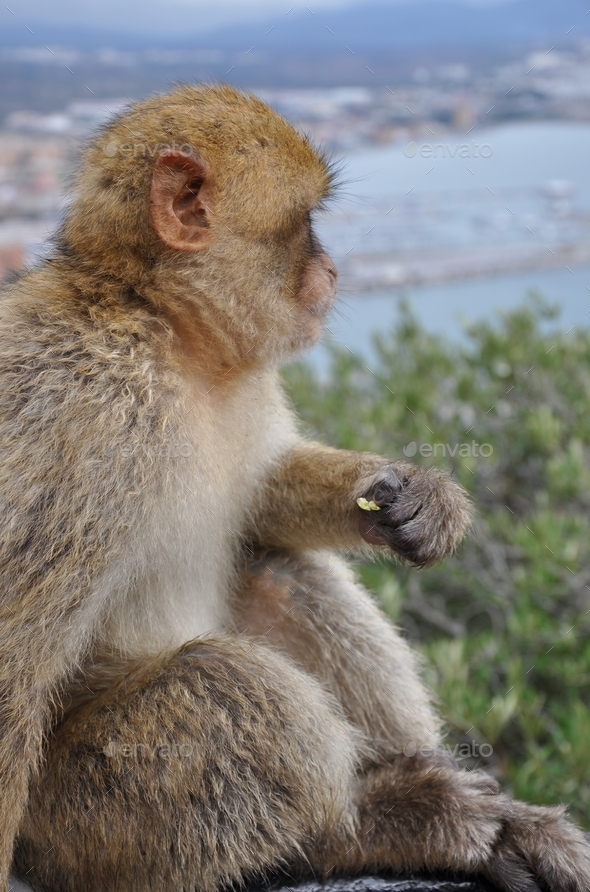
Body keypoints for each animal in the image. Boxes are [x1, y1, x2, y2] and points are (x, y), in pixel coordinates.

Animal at [0, 84, 587, 892]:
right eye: (306, 222)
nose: (335, 270)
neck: (168, 333)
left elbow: (264, 495)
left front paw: (417, 499)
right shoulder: (84, 409)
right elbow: (13, 656)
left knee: (280, 568)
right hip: (75, 826)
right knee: (224, 681)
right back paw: (367, 831)